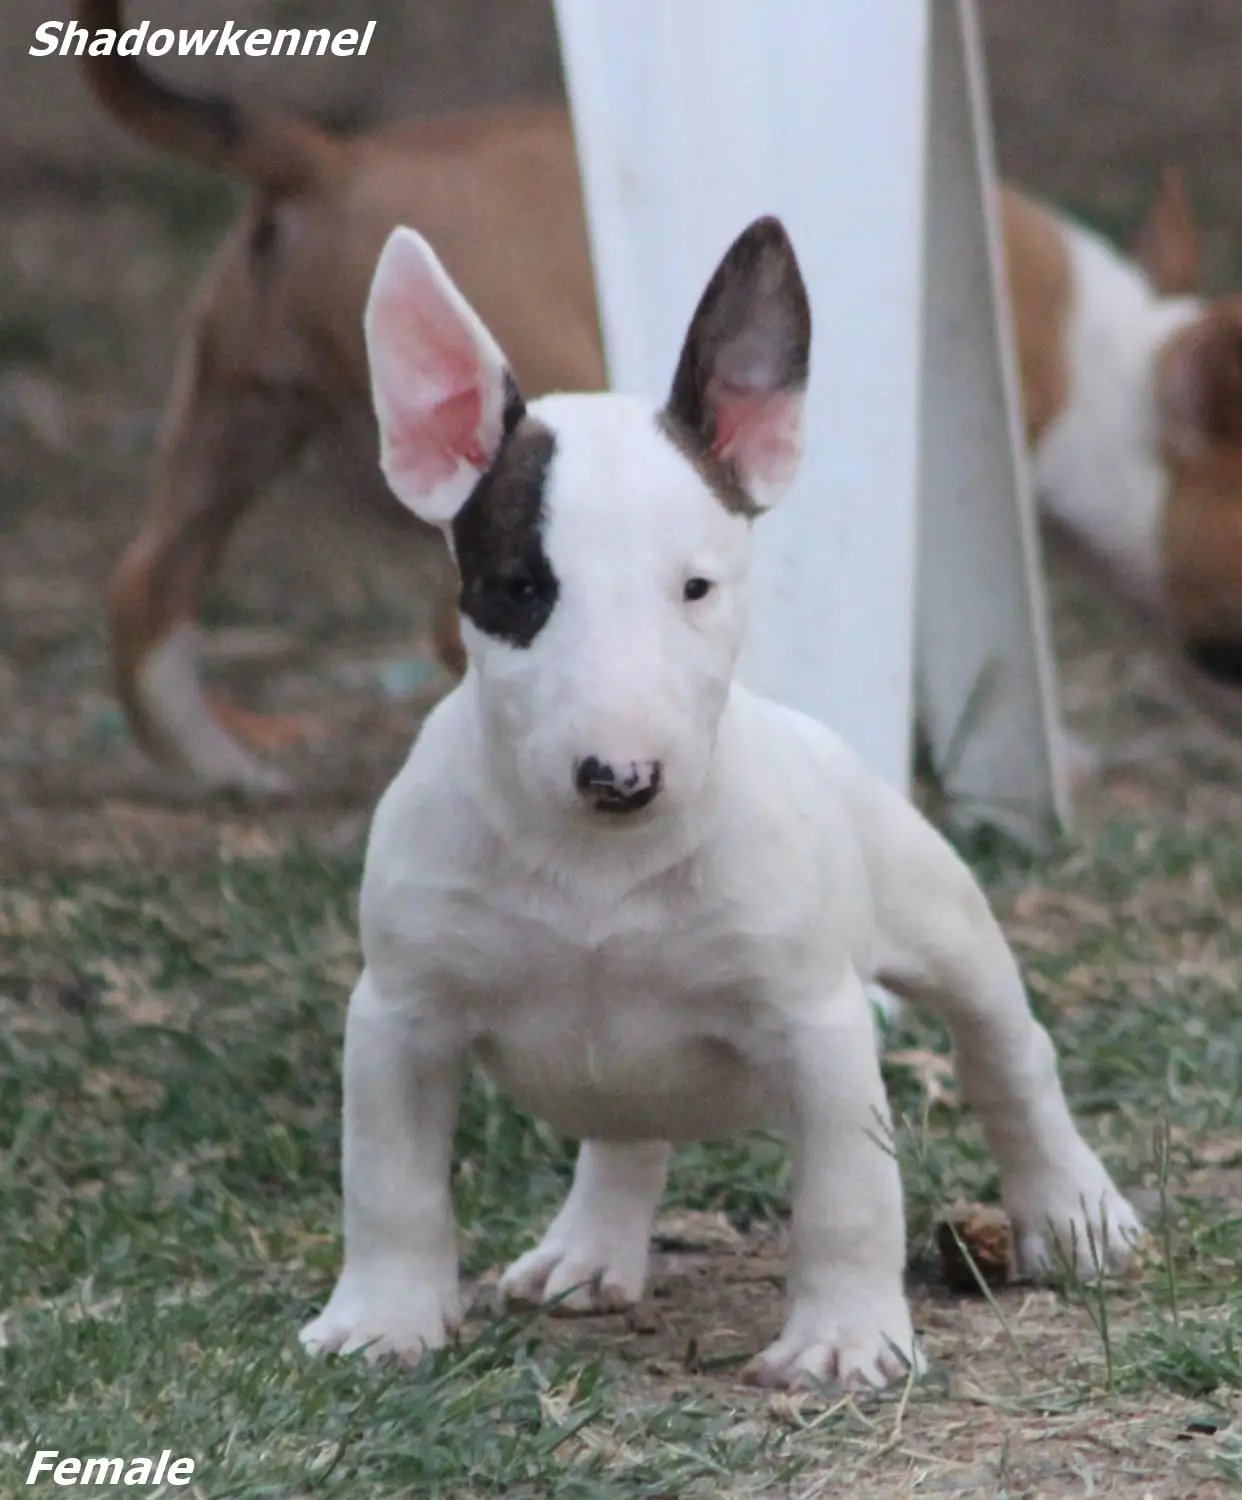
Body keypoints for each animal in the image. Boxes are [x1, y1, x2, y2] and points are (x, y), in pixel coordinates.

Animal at [298, 217, 1134, 1386]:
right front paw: (381, 1321)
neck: (597, 860)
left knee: (1009, 1053)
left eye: (695, 588)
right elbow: (389, 1185)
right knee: (625, 1132)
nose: (621, 777)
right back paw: (588, 1250)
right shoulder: (399, 1017)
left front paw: (842, 1340)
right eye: (522, 589)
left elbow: (848, 1196)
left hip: (939, 913)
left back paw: (1073, 1208)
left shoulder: (817, 1022)